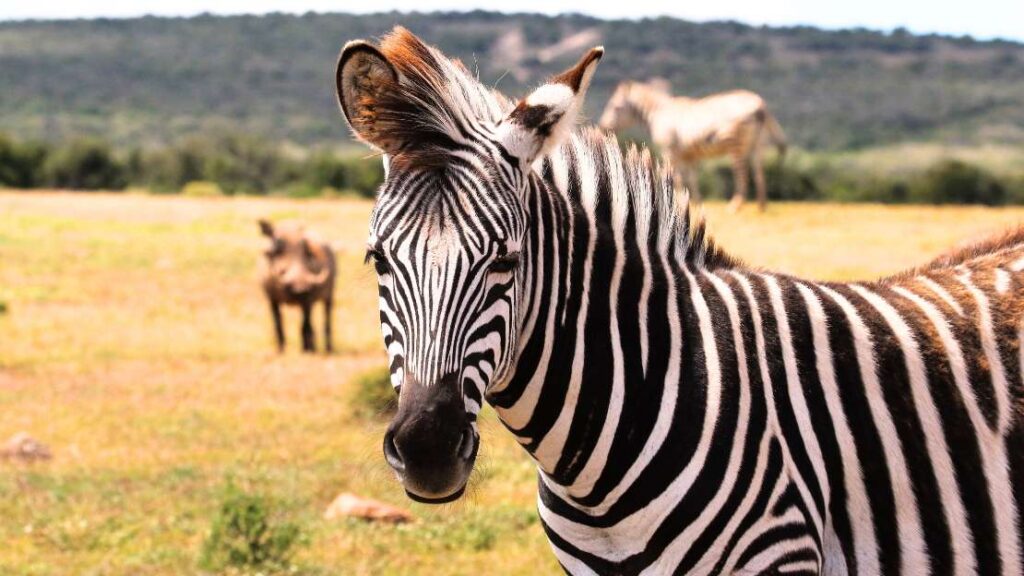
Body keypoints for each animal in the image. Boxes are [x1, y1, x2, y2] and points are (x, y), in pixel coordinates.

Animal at [599, 80, 787, 213]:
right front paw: (695, 204)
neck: (659, 113)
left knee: (742, 174)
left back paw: (735, 206)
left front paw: (675, 204)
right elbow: (692, 179)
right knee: (759, 172)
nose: (602, 127)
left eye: (615, 107)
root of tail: (760, 104)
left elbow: (676, 178)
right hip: (758, 144)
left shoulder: (670, 151)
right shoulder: (689, 155)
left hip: (736, 144)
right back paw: (762, 206)